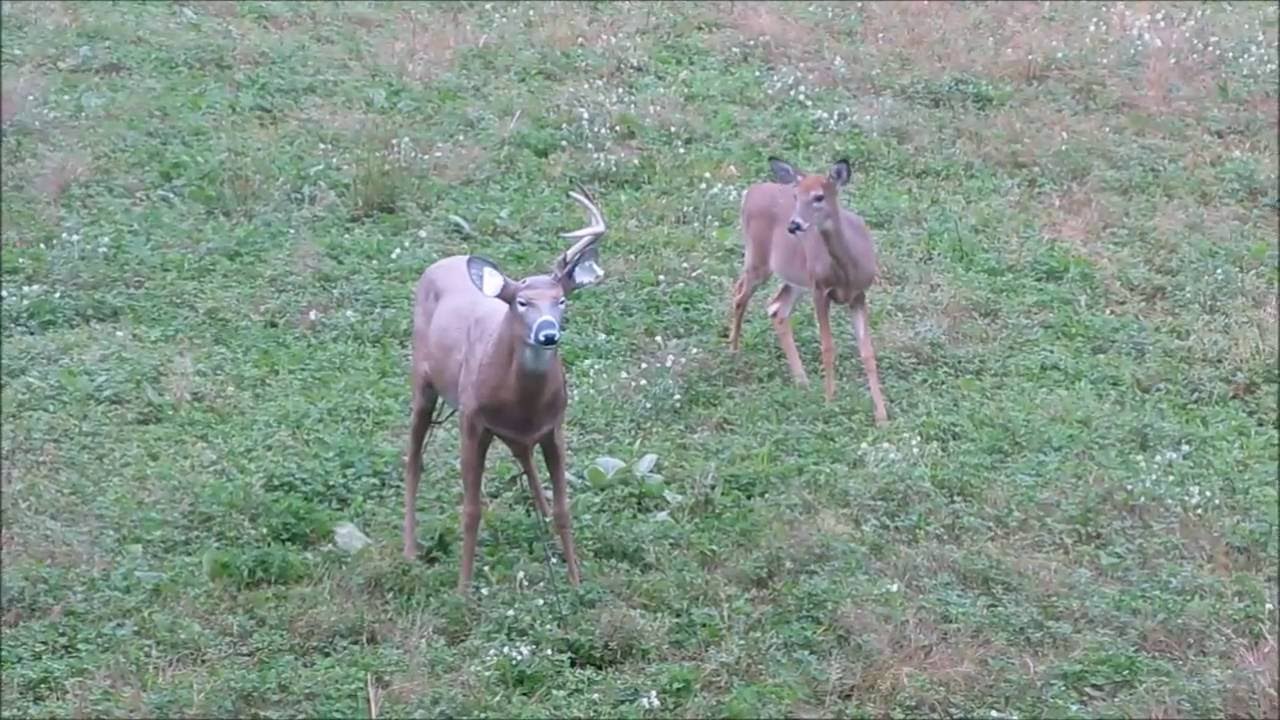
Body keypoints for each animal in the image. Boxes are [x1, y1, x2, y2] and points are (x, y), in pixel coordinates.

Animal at [403, 187, 607, 594]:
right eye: (522, 303)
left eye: (562, 300)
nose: (548, 334)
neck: (521, 402)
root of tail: (441, 262)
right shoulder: (471, 420)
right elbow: (471, 509)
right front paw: (463, 590)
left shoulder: (555, 425)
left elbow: (564, 508)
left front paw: (575, 580)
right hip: (423, 383)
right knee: (414, 457)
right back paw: (410, 550)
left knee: (522, 455)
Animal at [727, 156, 889, 426]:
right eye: (795, 195)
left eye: (819, 196)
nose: (794, 225)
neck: (847, 270)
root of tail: (750, 191)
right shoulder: (820, 289)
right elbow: (827, 346)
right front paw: (830, 401)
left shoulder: (859, 294)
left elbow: (867, 351)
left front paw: (882, 415)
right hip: (759, 258)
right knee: (739, 295)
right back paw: (734, 352)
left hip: (795, 279)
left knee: (776, 308)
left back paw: (802, 381)